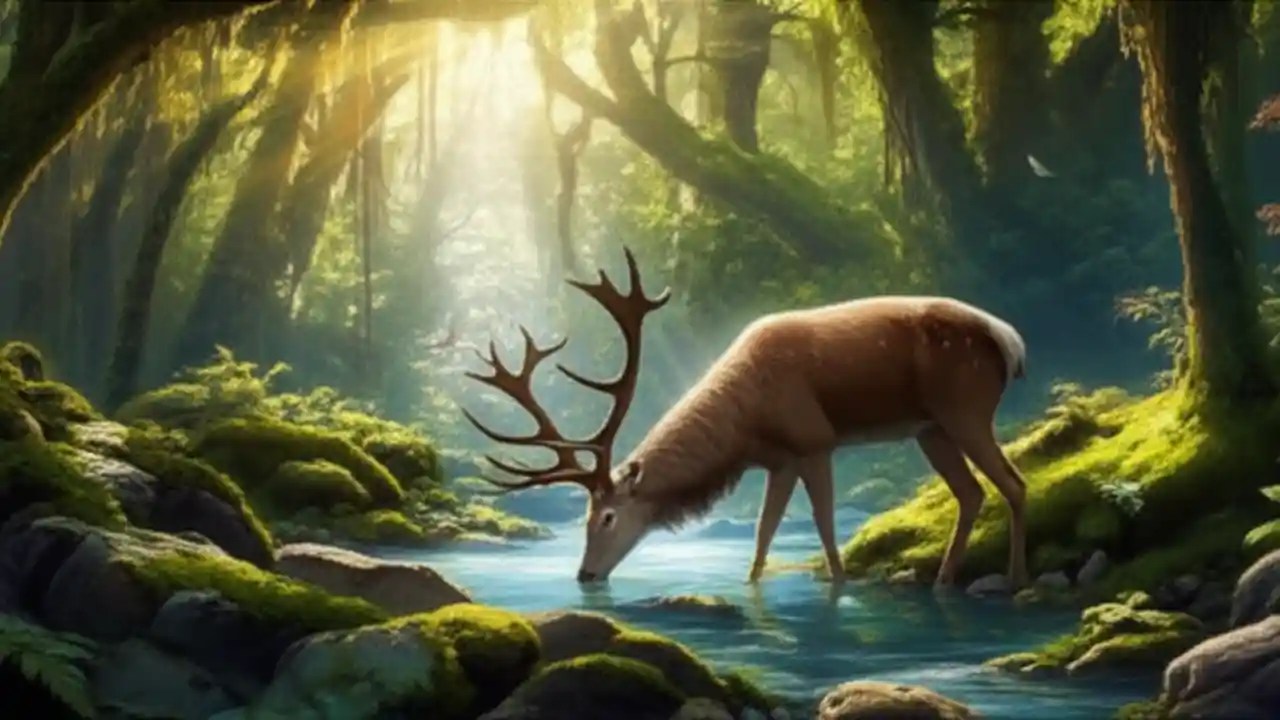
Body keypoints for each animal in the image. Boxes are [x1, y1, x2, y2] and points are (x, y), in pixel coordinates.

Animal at [463, 247, 1030, 589]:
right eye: (581, 517)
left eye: (606, 517)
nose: (584, 575)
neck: (745, 428)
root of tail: (1010, 341)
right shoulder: (779, 461)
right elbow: (764, 530)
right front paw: (751, 586)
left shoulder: (815, 438)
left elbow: (824, 522)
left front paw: (839, 586)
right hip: (930, 428)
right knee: (971, 492)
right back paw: (944, 581)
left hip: (966, 408)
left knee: (1014, 482)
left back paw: (1015, 580)